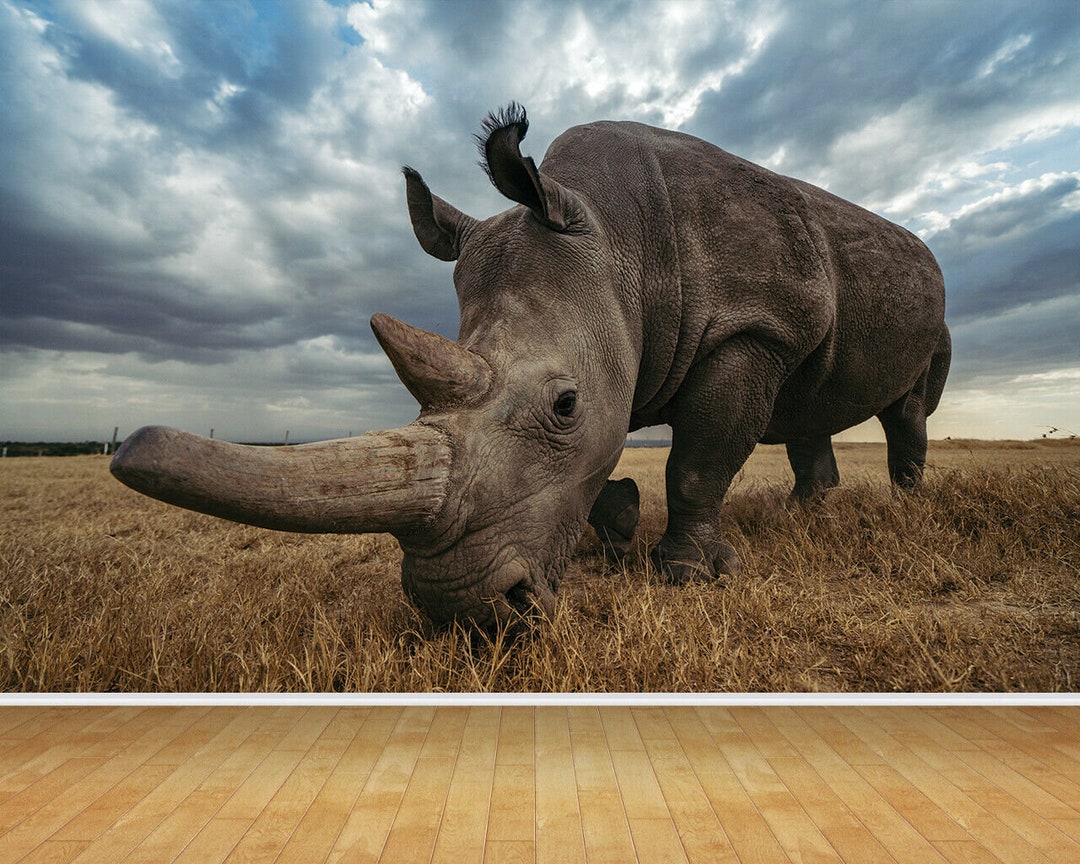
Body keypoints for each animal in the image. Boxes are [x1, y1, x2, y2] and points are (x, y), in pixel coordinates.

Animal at [111, 104, 950, 629]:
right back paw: (807, 516)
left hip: (920, 302)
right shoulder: (630, 338)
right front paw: (614, 532)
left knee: (907, 406)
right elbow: (599, 468)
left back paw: (905, 508)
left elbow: (699, 460)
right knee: (812, 409)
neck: (619, 237)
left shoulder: (753, 328)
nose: (471, 615)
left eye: (563, 404)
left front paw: (688, 576)